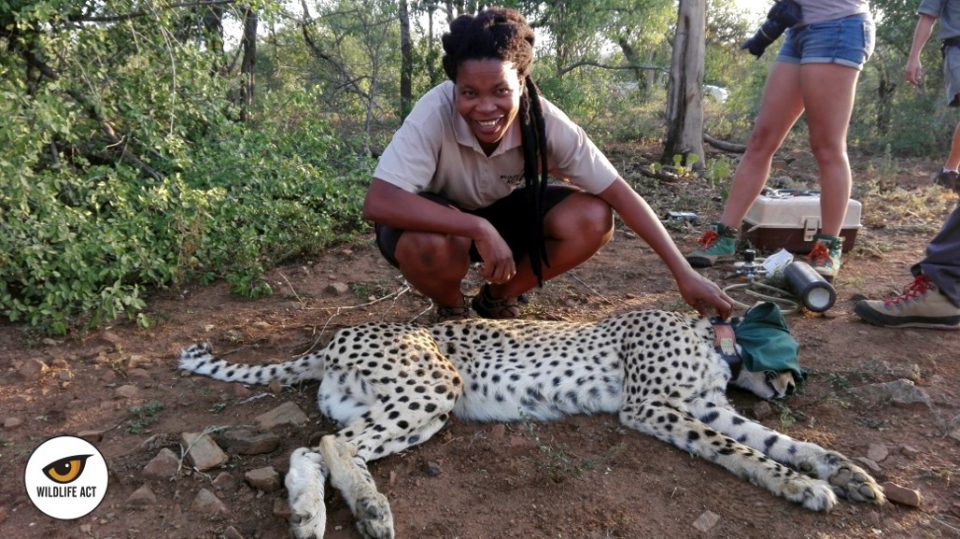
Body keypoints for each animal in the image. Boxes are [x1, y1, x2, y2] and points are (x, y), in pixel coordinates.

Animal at [178, 310, 885, 539]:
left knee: (311, 450)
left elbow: (781, 444)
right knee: (327, 442)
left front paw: (834, 476)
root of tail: (338, 337)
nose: (794, 387)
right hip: (435, 383)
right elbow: (740, 451)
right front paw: (804, 483)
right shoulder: (651, 407)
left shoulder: (710, 404)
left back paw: (309, 517)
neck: (719, 341)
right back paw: (372, 510)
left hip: (410, 408)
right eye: (792, 357)